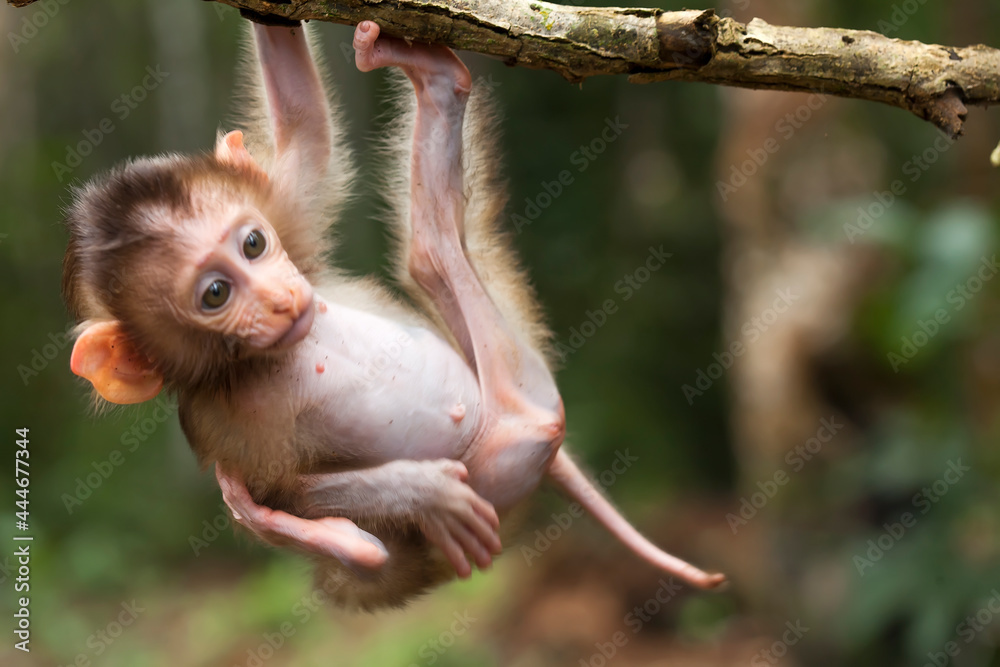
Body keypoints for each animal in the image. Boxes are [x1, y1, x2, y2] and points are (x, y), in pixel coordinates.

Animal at [62, 16, 725, 610]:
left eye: (253, 243)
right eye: (216, 295)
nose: (281, 300)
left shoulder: (285, 217)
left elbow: (308, 128)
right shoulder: (221, 420)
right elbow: (285, 489)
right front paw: (421, 492)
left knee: (429, 256)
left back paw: (433, 79)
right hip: (515, 429)